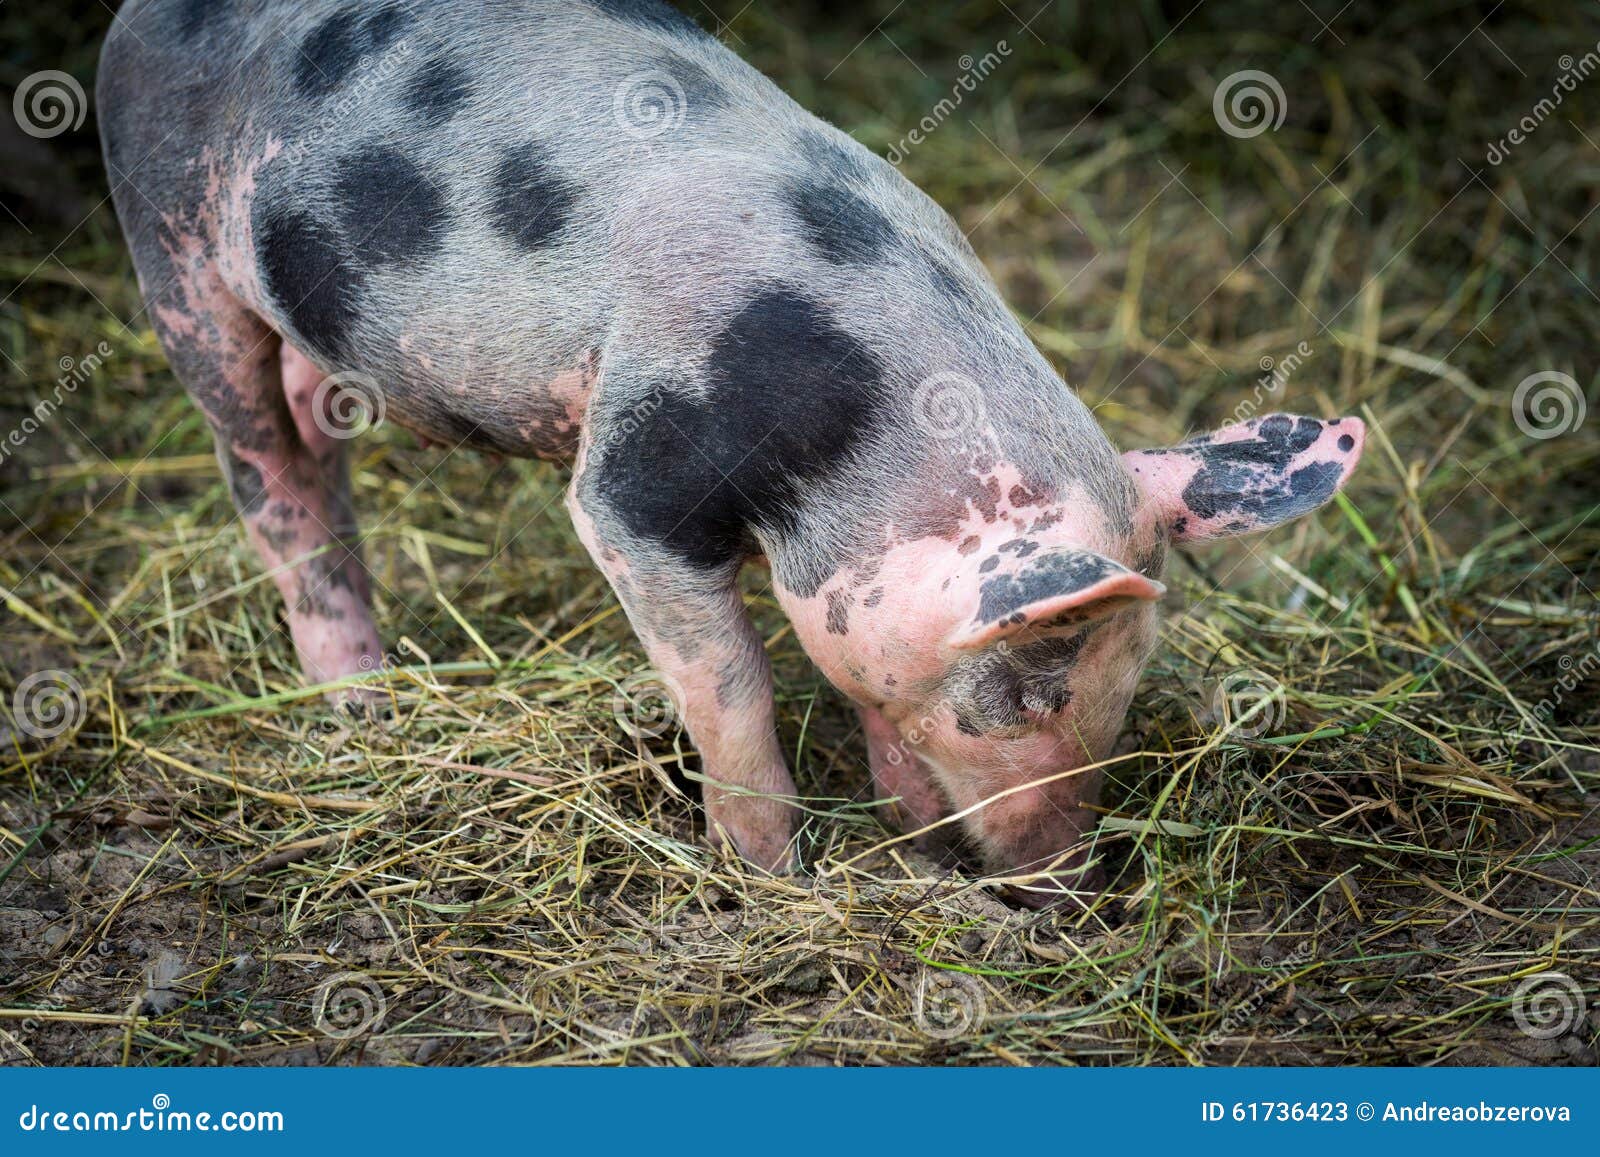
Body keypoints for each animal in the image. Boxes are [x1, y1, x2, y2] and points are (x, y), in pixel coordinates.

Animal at [97, 0, 1364, 905]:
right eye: (1019, 696)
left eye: (1128, 683)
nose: (1065, 890)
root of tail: (140, 19)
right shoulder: (631, 479)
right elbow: (732, 677)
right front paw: (766, 878)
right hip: (173, 250)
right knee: (266, 472)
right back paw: (359, 706)